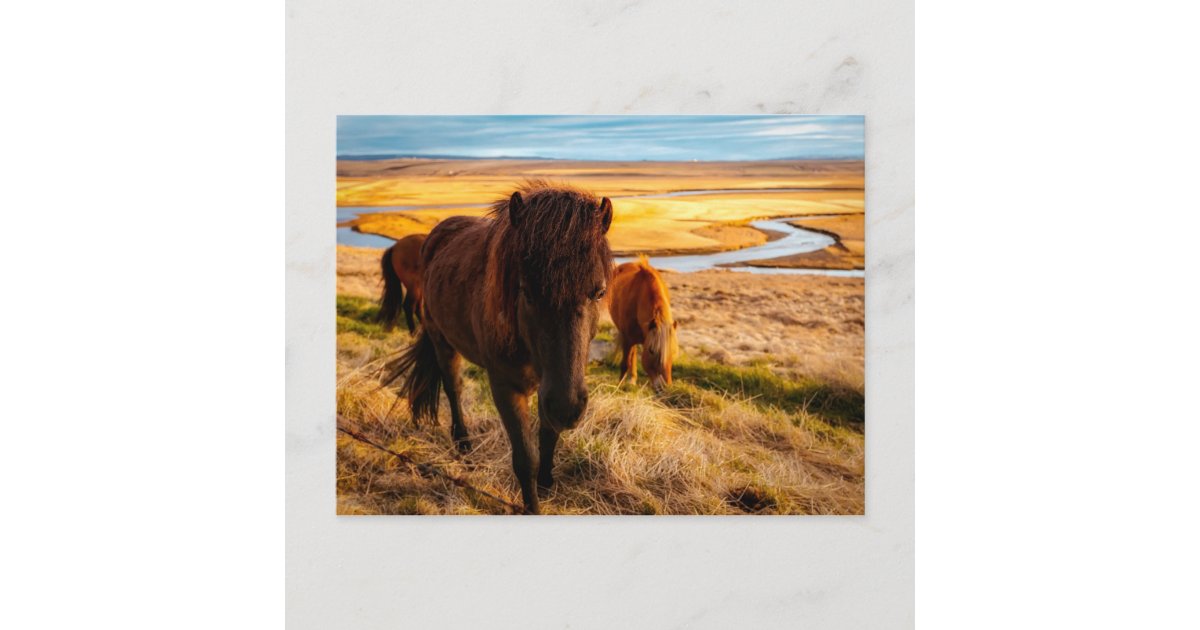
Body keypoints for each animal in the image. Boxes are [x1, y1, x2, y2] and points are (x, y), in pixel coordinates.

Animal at [386, 182, 613, 514]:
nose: (567, 408)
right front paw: (532, 506)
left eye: (599, 292)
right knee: (453, 388)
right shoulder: (507, 388)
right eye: (526, 292)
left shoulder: (552, 387)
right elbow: (525, 459)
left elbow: (548, 435)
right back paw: (463, 443)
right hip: (442, 340)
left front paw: (546, 482)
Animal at [607, 257, 679, 391]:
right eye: (651, 351)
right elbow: (625, 363)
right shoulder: (627, 339)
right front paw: (618, 386)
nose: (665, 388)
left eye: (672, 352)